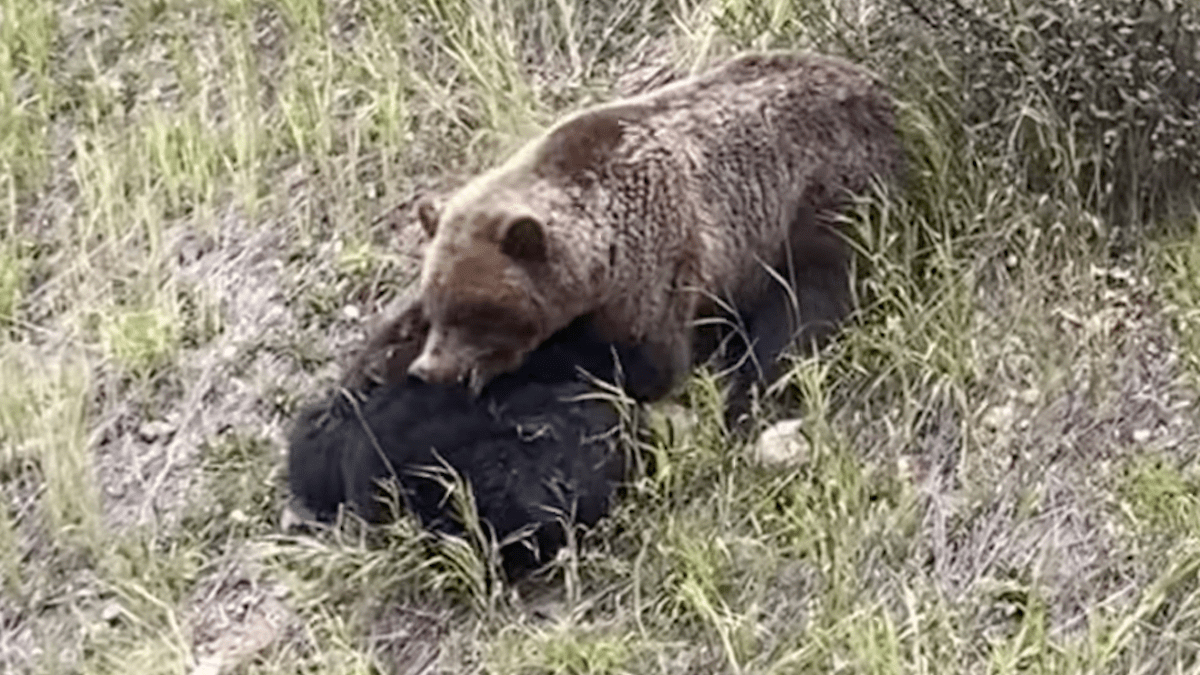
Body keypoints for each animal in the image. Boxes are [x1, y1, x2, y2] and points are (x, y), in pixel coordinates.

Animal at [408, 51, 902, 423]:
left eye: (473, 311)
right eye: (434, 305)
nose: (429, 369)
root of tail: (874, 84)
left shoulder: (655, 264)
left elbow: (649, 365)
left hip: (822, 197)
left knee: (806, 304)